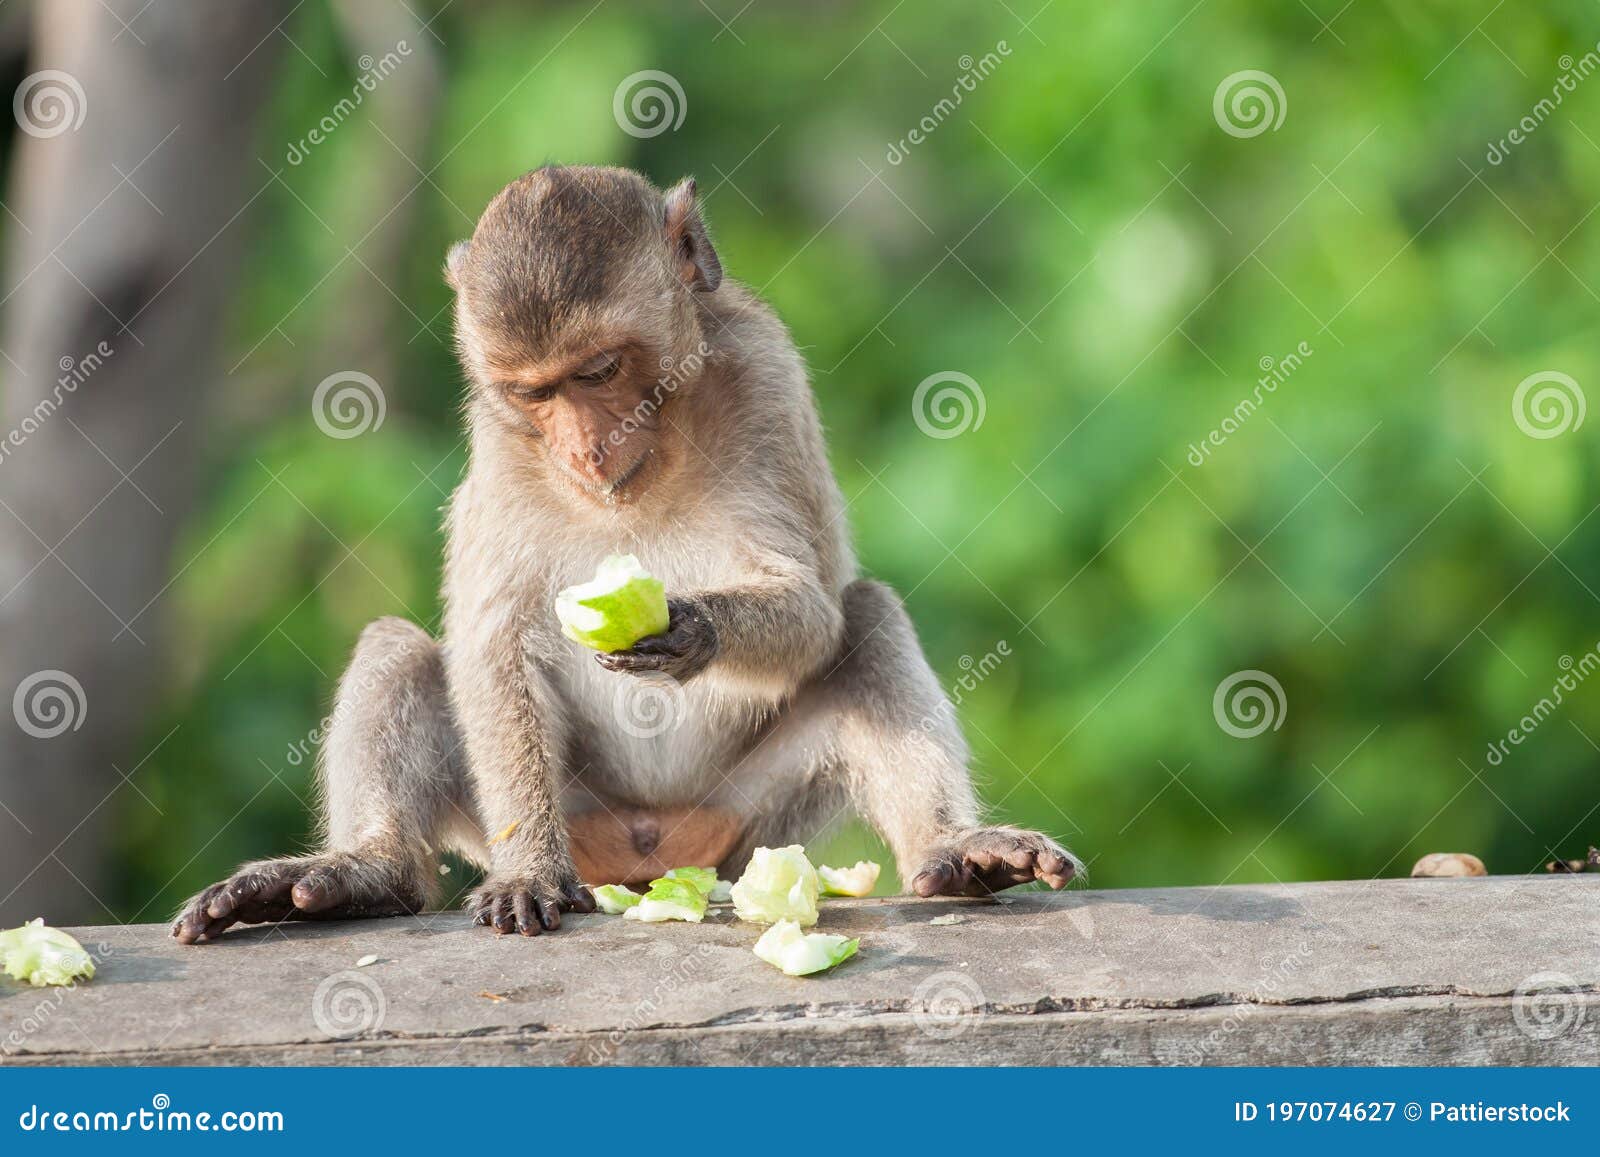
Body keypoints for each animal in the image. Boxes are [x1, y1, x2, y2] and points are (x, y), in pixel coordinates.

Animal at [173, 165, 1079, 944]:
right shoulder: (499, 438)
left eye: (600, 370)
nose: (583, 448)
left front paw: (692, 627)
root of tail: (649, 850)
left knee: (868, 614)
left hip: (750, 814)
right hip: (579, 815)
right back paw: (366, 871)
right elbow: (495, 642)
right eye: (536, 393)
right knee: (400, 648)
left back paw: (950, 847)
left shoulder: (767, 375)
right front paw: (529, 869)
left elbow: (815, 609)